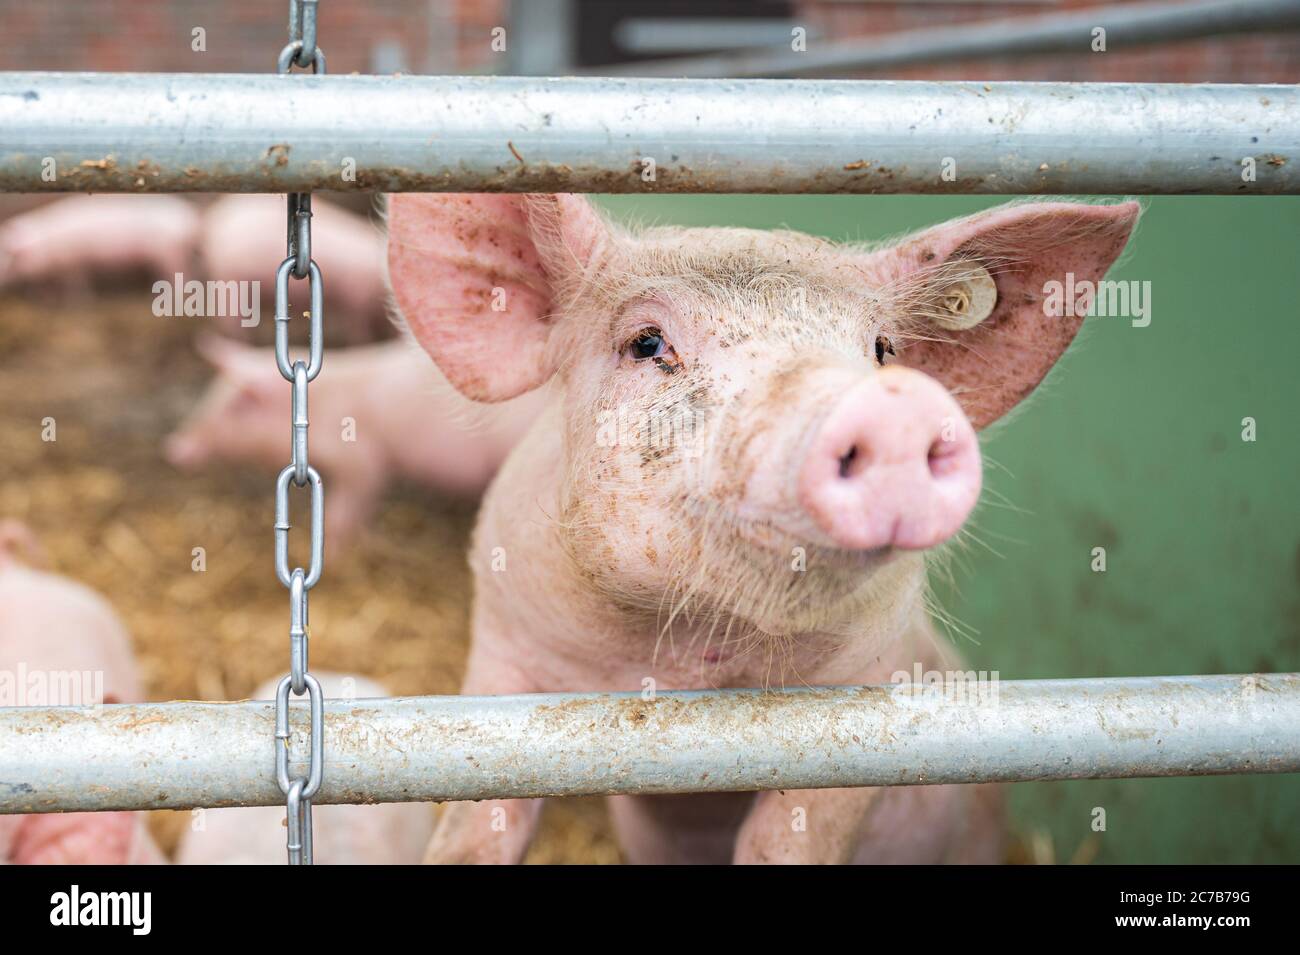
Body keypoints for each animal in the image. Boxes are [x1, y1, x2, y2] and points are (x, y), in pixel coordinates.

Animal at [164, 335, 545, 550]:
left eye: (235, 407)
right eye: (210, 395)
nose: (176, 448)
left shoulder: (364, 462)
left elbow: (347, 507)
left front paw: (337, 551)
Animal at [386, 194, 1139, 864]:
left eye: (882, 349)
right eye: (647, 343)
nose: (891, 406)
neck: (681, 658)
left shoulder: (867, 690)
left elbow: (786, 842)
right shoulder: (501, 650)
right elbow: (474, 833)